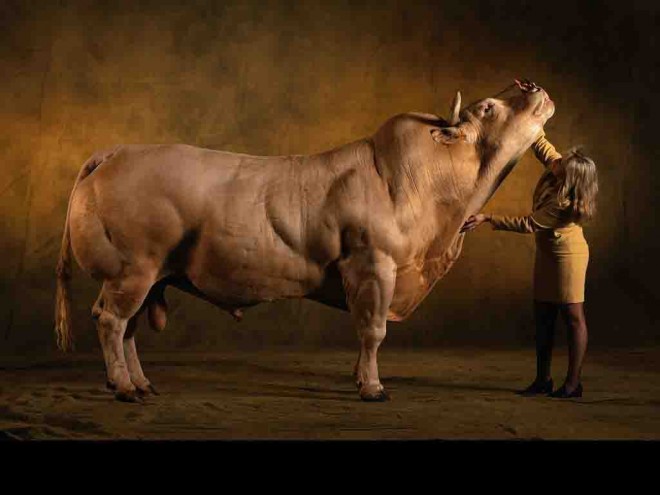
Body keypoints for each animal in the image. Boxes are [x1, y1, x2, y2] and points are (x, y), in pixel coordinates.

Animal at [54, 80, 555, 402]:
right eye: (488, 107)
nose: (534, 86)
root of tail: (117, 152)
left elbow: (366, 331)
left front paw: (359, 377)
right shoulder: (373, 264)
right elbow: (373, 329)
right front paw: (372, 387)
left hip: (150, 276)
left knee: (128, 328)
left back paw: (140, 383)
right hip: (132, 270)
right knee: (111, 321)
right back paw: (123, 387)